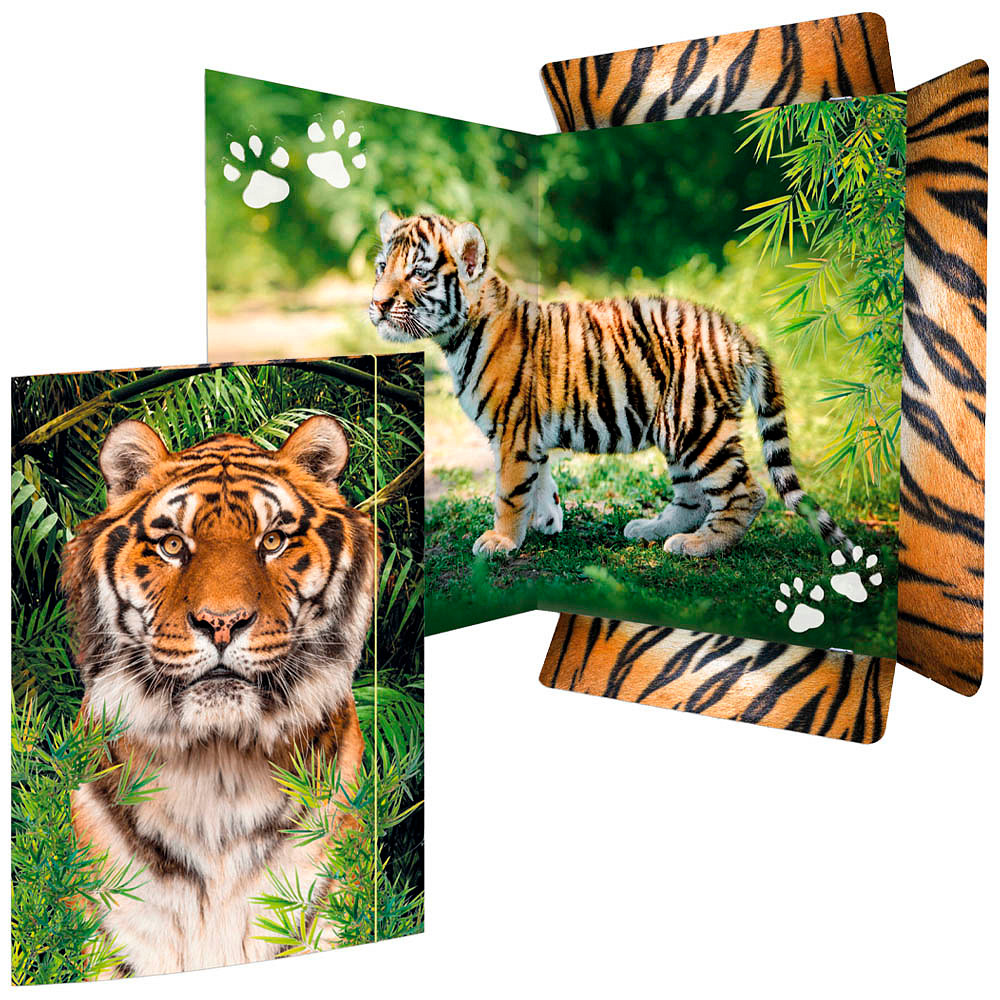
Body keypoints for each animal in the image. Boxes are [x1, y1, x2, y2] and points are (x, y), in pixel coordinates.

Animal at [371, 210, 851, 559]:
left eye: (418, 273)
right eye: (381, 267)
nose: (376, 304)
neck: (456, 336)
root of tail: (738, 332)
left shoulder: (512, 432)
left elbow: (509, 492)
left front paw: (501, 541)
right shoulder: (528, 436)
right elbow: (539, 480)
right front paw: (547, 521)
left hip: (697, 425)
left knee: (745, 494)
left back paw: (699, 545)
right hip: (677, 430)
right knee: (693, 497)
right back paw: (652, 529)